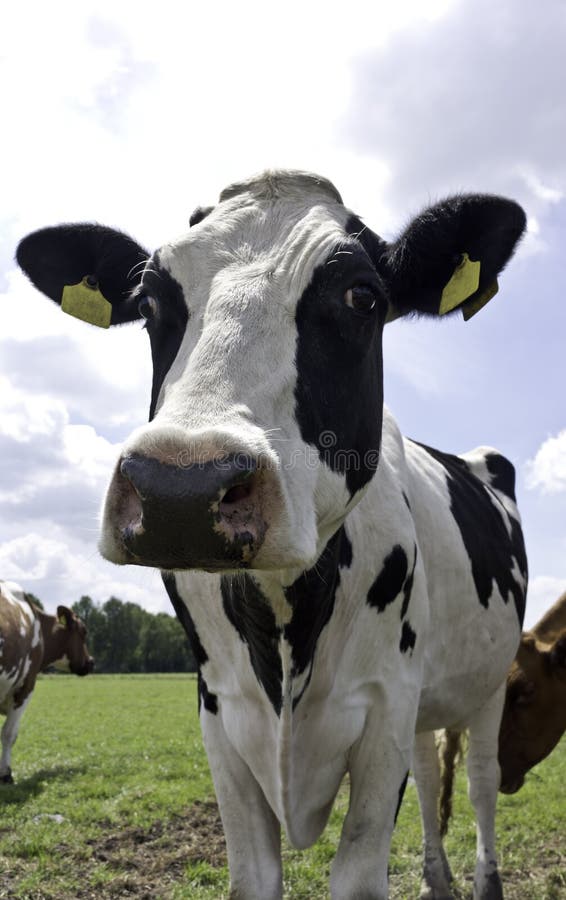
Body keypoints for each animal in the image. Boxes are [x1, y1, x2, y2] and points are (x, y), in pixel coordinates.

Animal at [17, 170, 528, 900]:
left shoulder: (385, 711)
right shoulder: (220, 715)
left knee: (482, 782)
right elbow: (253, 877)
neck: (284, 616)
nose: (180, 490)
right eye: (148, 301)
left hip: (489, 683)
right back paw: (437, 880)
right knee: (434, 778)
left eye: (362, 295)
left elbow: (361, 874)